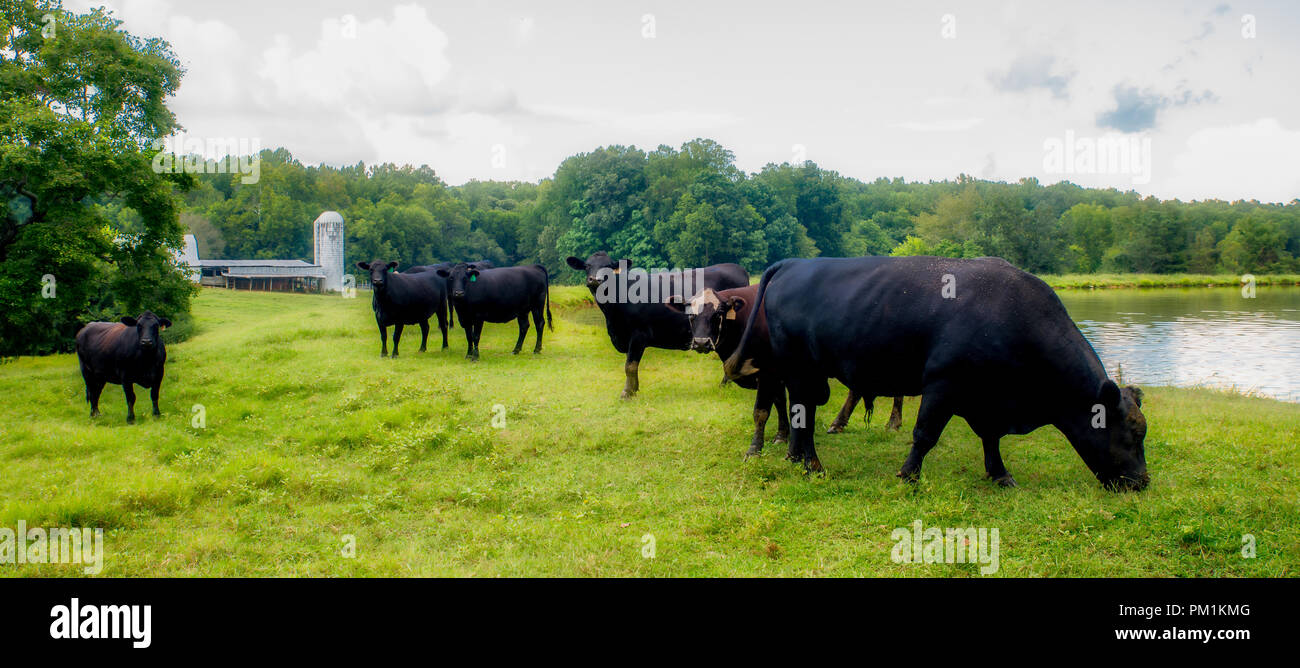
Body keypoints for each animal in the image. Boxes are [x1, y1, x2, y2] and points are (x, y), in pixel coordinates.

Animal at [566, 251, 749, 399]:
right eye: (587, 266)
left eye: (609, 267)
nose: (595, 279)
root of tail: (736, 267)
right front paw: (634, 389)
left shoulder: (638, 335)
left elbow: (630, 366)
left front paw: (627, 393)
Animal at [667, 285, 903, 459]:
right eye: (691, 315)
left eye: (718, 314)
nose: (701, 342)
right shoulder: (777, 373)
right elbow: (780, 403)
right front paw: (782, 435)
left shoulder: (769, 371)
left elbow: (761, 411)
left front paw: (754, 449)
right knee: (856, 391)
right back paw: (838, 424)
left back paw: (893, 423)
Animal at [723, 256, 1148, 491]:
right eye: (1131, 433)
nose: (1143, 482)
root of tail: (794, 263)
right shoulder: (945, 384)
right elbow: (925, 434)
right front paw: (909, 475)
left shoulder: (984, 397)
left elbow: (990, 438)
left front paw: (999, 474)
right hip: (801, 368)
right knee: (804, 413)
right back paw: (812, 464)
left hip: (802, 373)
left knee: (801, 411)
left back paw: (797, 459)